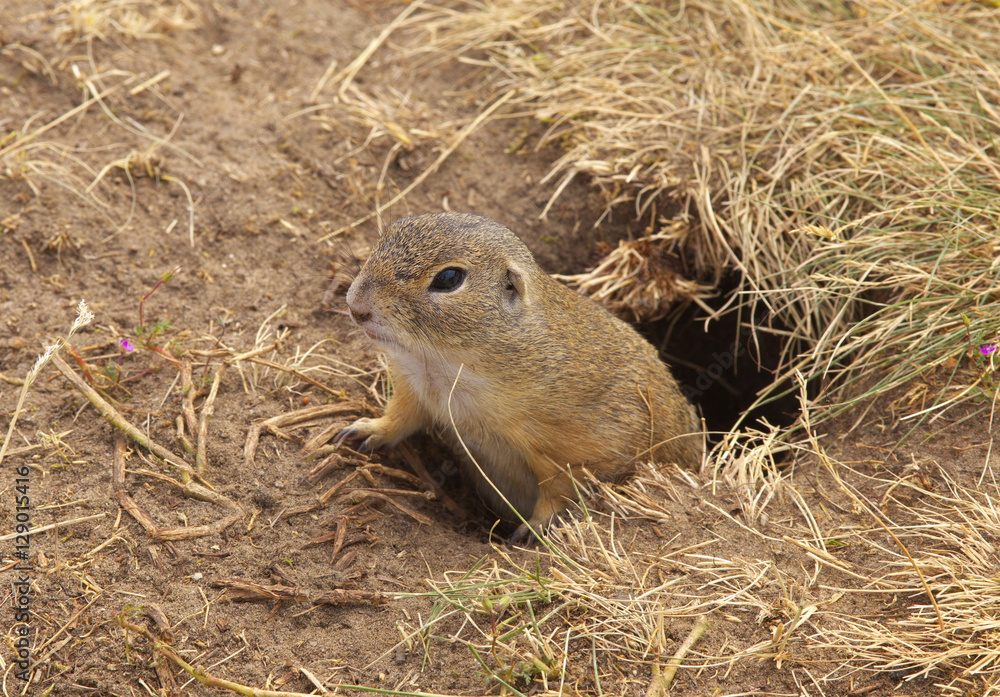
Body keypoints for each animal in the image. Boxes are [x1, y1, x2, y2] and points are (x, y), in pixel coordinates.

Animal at [336, 212, 702, 542]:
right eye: (391, 230)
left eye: (449, 278)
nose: (356, 306)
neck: (445, 366)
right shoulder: (414, 392)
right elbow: (400, 418)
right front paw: (365, 430)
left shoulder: (577, 447)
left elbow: (562, 488)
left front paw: (534, 528)